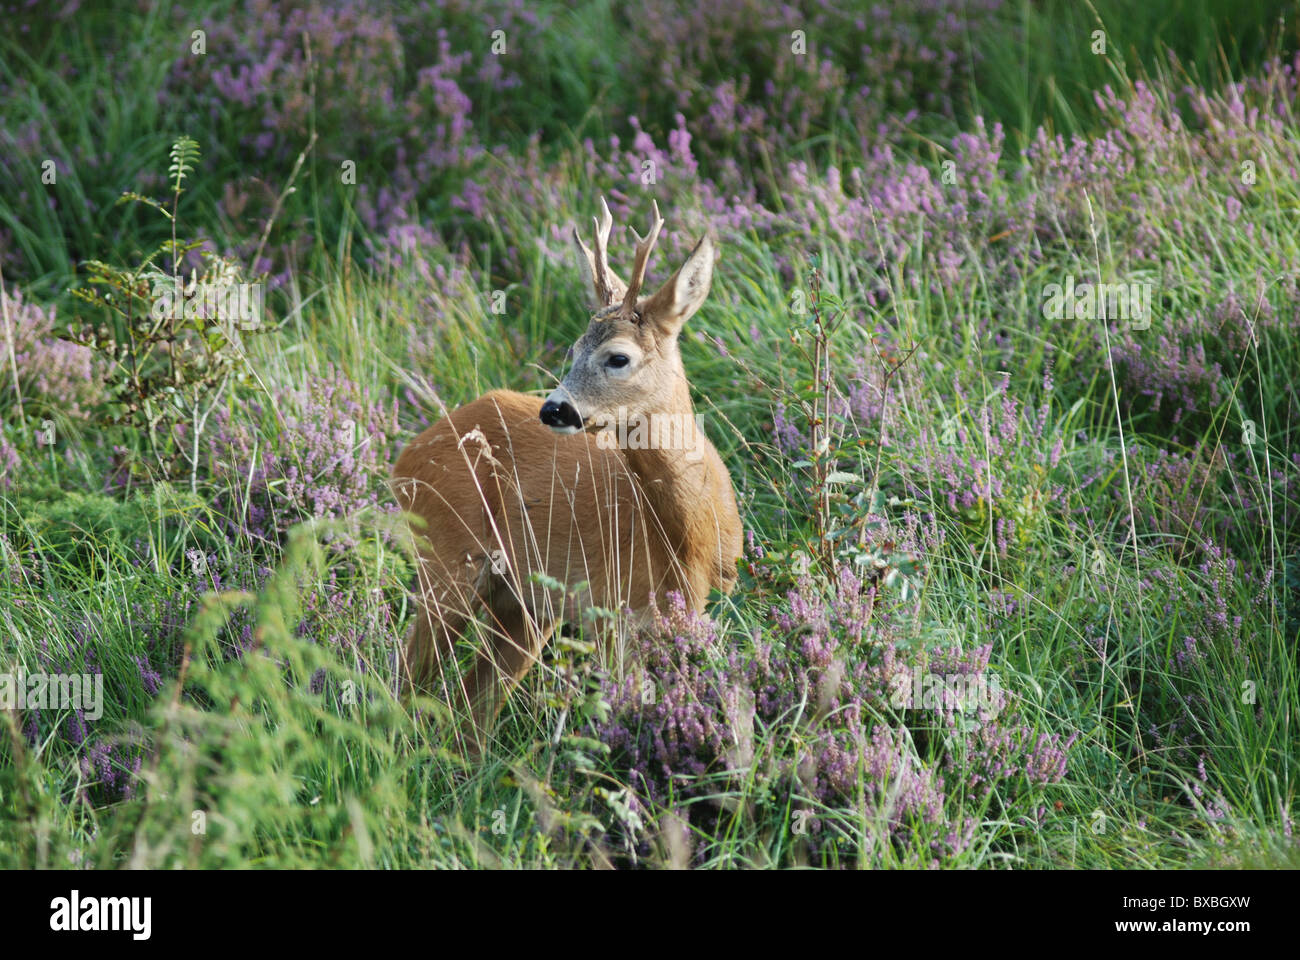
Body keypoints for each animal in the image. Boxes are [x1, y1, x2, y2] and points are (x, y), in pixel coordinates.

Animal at [391, 199, 743, 756]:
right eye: (573, 349)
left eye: (618, 356)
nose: (554, 408)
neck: (683, 536)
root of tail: (405, 457)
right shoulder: (611, 611)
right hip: (447, 560)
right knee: (407, 678)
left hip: (522, 603)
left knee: (473, 706)